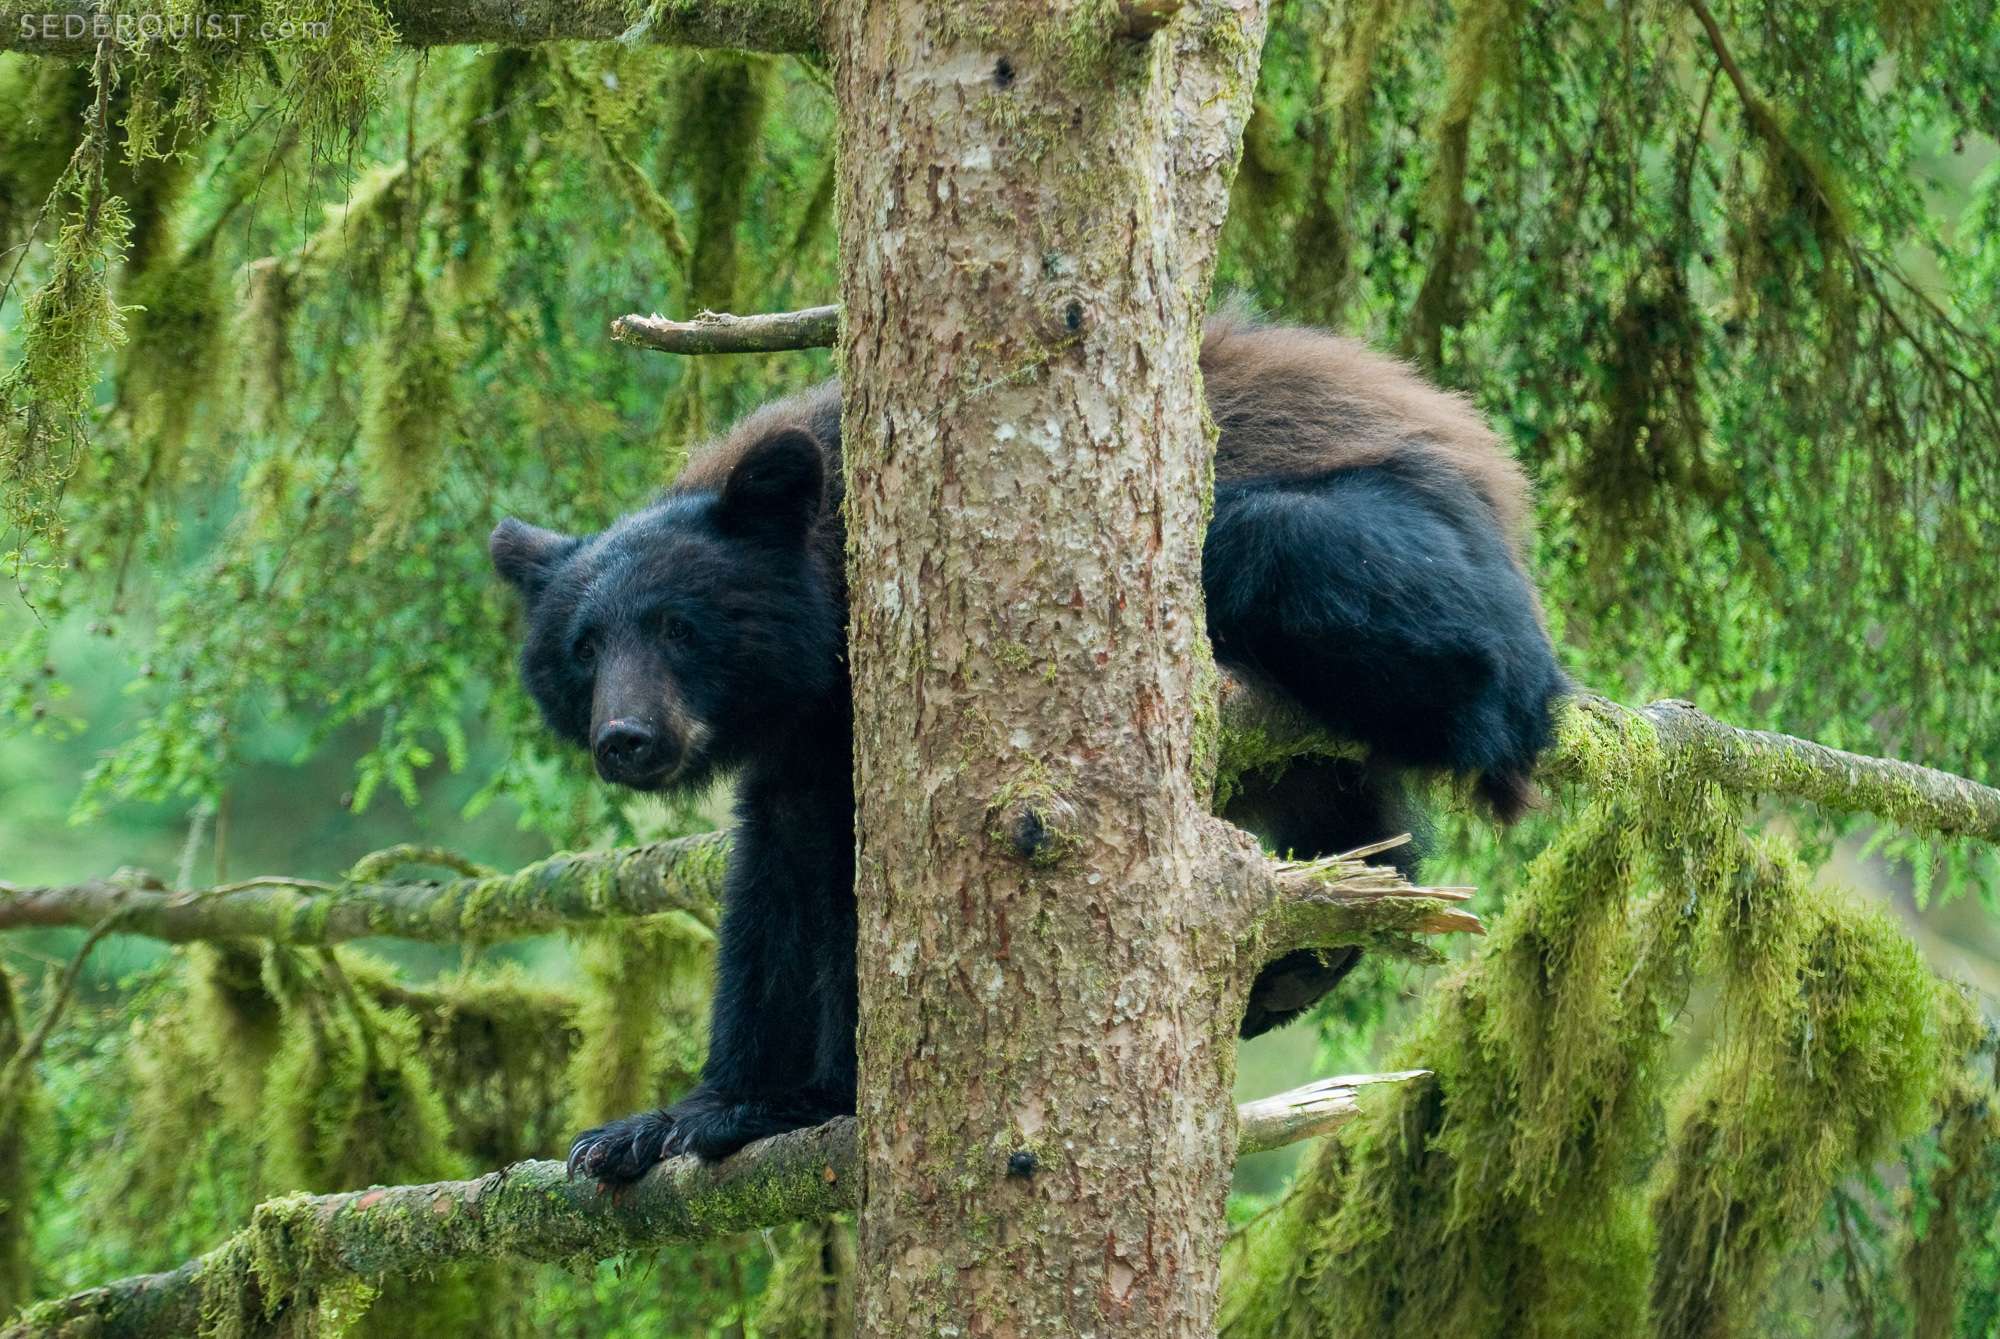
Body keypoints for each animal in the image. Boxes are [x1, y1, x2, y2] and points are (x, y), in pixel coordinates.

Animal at [490, 314, 1567, 1181]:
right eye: (583, 647)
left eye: (678, 627)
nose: (627, 739)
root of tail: (1487, 468)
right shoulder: (795, 749)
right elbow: (775, 889)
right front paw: (671, 1117)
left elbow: (857, 896)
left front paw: (814, 1093)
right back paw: (1302, 952)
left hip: (1396, 548)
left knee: (1404, 626)